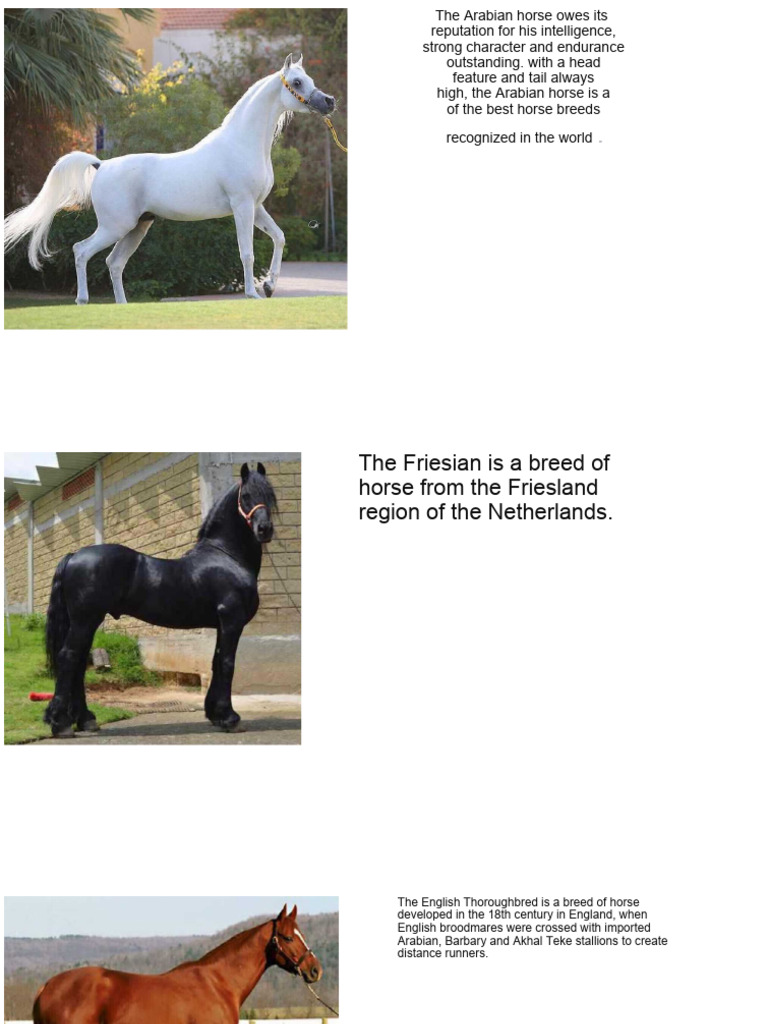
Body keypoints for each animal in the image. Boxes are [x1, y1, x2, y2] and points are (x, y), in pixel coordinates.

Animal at [3, 52, 335, 304]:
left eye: (310, 80)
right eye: (297, 82)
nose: (329, 102)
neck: (242, 143)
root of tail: (101, 164)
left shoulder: (256, 206)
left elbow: (279, 237)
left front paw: (269, 286)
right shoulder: (242, 207)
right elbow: (247, 253)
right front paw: (254, 294)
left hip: (137, 228)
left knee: (114, 262)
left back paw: (121, 306)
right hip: (115, 226)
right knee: (82, 251)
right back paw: (83, 300)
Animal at [43, 462, 278, 738]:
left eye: (270, 494)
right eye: (246, 495)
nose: (264, 530)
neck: (227, 556)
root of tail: (74, 555)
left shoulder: (222, 625)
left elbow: (216, 662)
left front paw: (216, 715)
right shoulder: (232, 621)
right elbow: (228, 663)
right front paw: (230, 718)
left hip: (86, 622)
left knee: (79, 663)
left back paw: (86, 720)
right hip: (85, 620)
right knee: (69, 658)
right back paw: (61, 724)